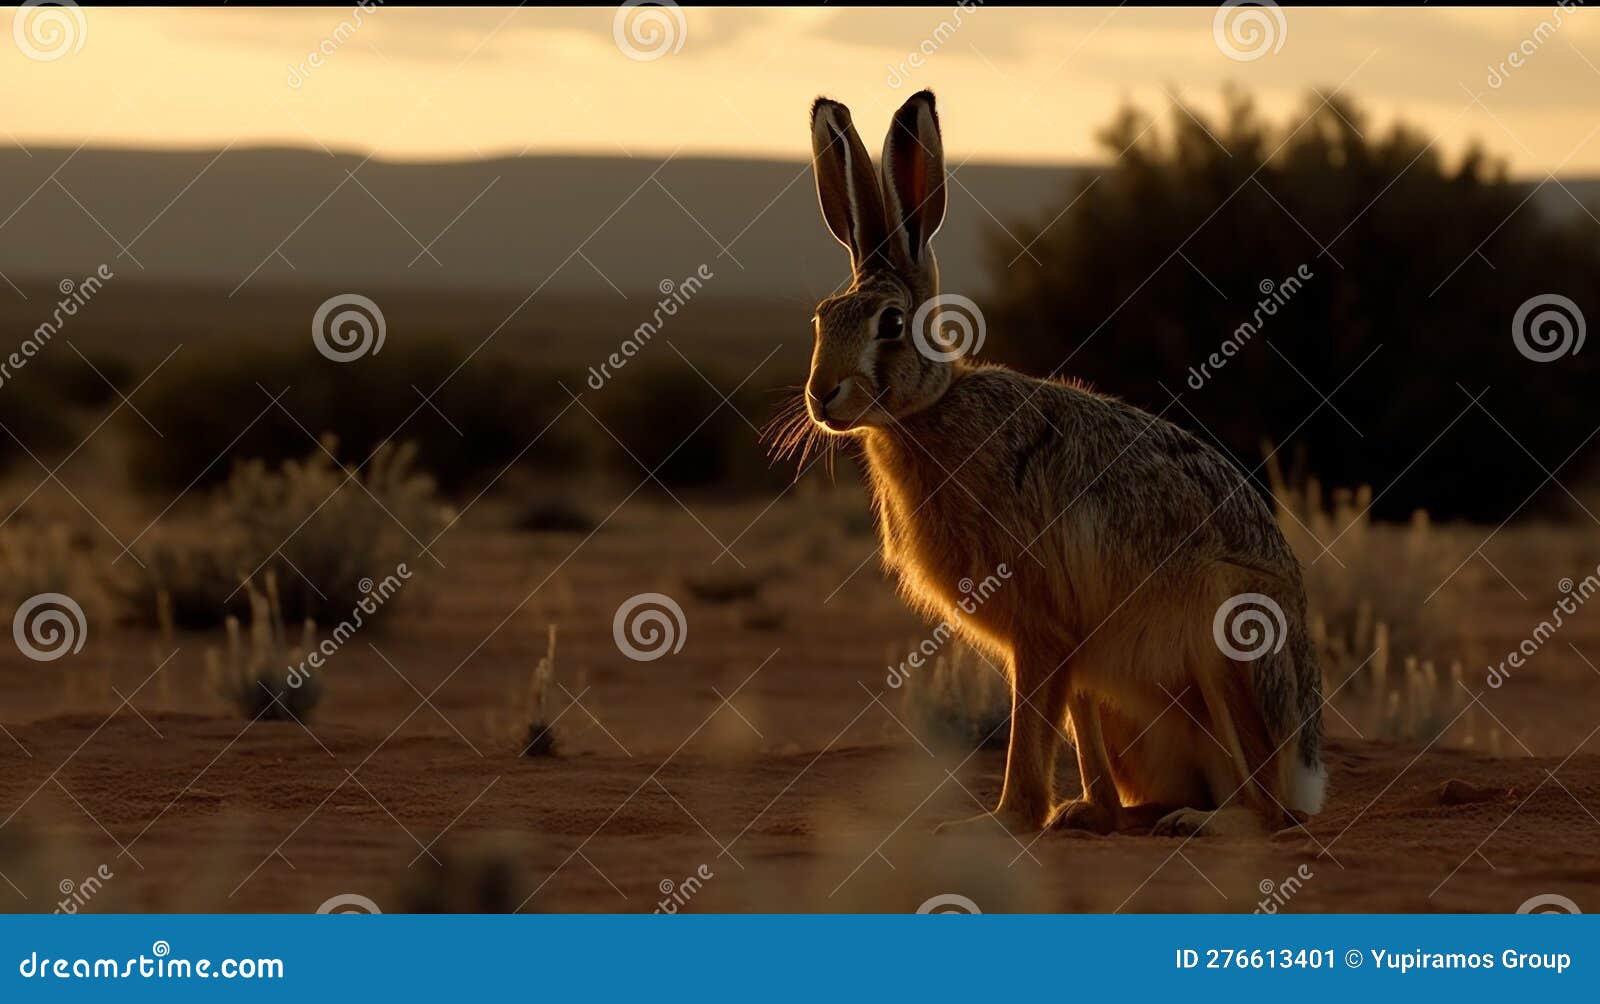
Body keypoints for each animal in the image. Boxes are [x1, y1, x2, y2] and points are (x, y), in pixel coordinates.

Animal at [800, 90, 1325, 837]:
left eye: (891, 324)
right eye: (822, 318)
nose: (824, 394)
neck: (932, 410)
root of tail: (1310, 768)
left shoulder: (1041, 630)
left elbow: (1027, 738)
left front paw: (998, 821)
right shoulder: (1061, 645)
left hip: (1233, 635)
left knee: (1268, 809)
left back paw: (1199, 824)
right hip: (1120, 692)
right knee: (1129, 785)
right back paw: (1103, 814)